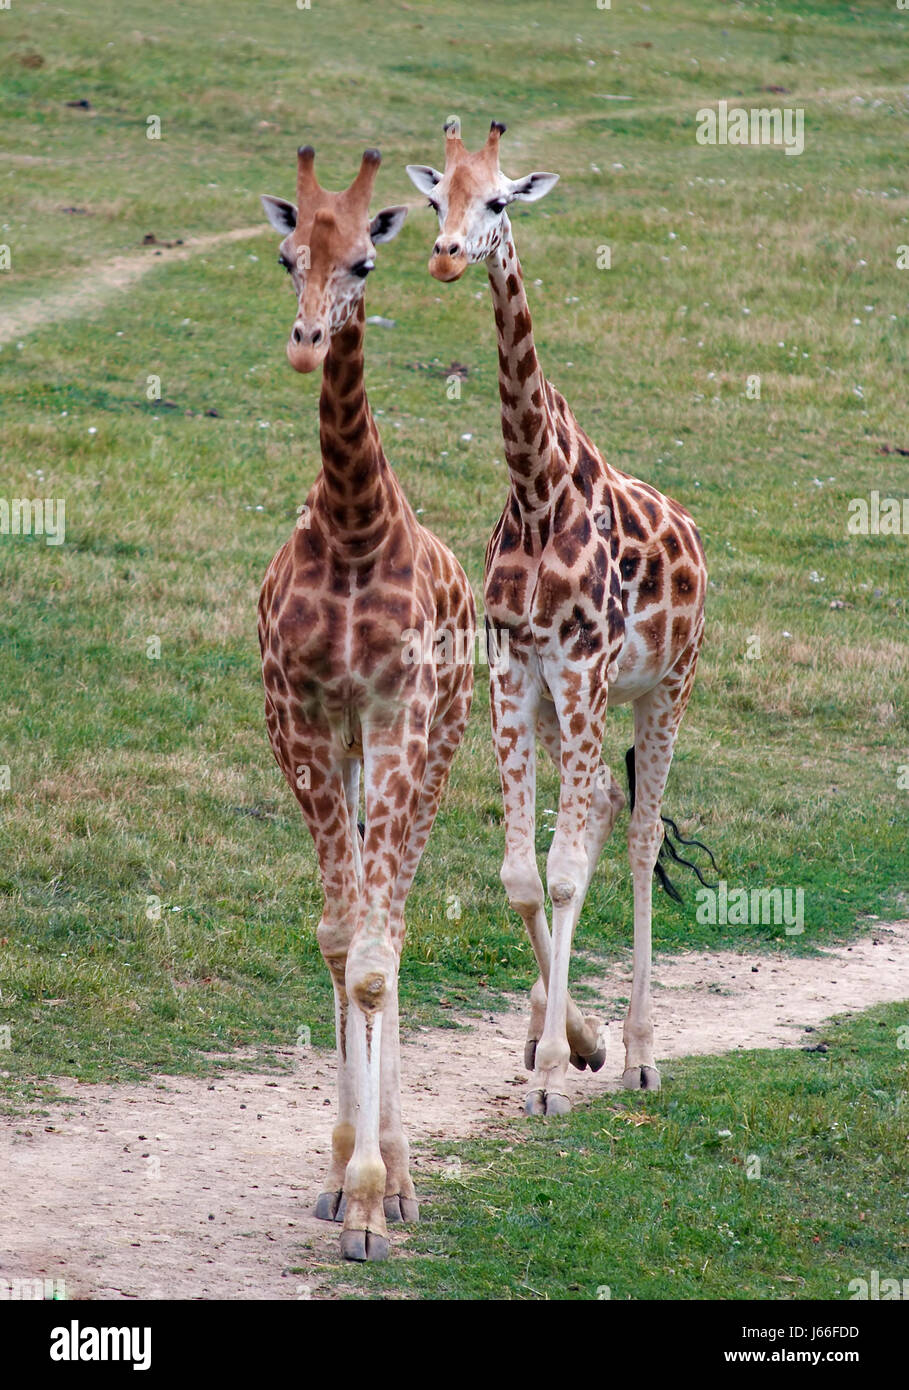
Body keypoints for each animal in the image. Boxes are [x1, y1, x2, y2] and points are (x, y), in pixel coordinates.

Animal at [407, 120, 708, 1114]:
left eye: (499, 200)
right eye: (434, 197)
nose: (447, 255)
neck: (537, 493)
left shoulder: (580, 671)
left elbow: (569, 872)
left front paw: (552, 1071)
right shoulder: (514, 675)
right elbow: (519, 874)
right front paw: (566, 1040)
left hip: (663, 688)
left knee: (642, 834)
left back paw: (645, 1053)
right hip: (570, 704)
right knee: (607, 803)